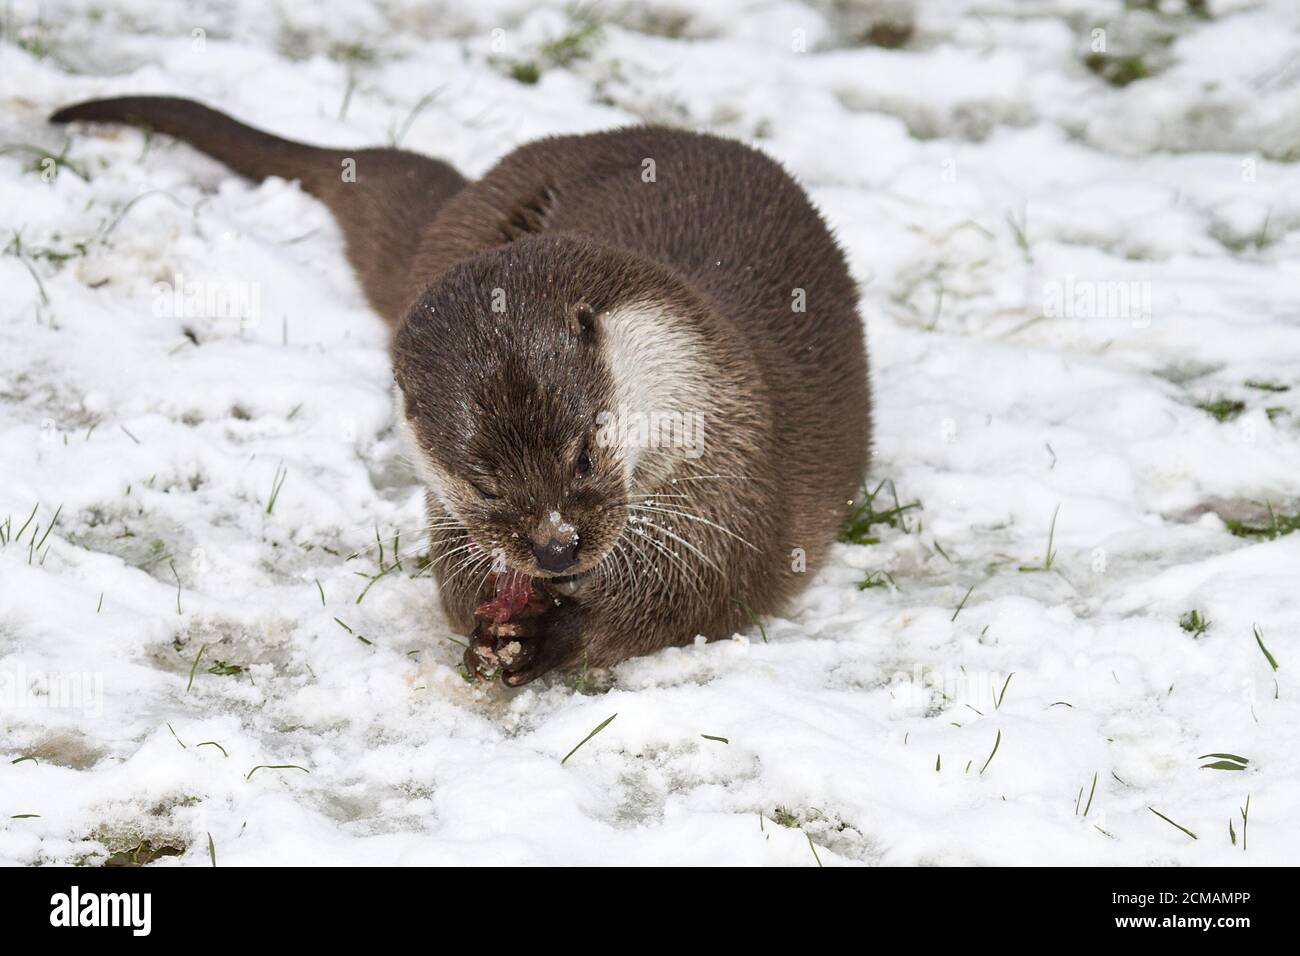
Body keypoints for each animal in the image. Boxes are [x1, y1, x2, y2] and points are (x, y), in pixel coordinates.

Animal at [50, 96, 870, 685]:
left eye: (584, 454)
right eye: (484, 484)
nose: (556, 547)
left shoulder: (738, 484)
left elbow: (695, 593)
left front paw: (552, 634)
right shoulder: (444, 503)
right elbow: (449, 575)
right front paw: (487, 628)